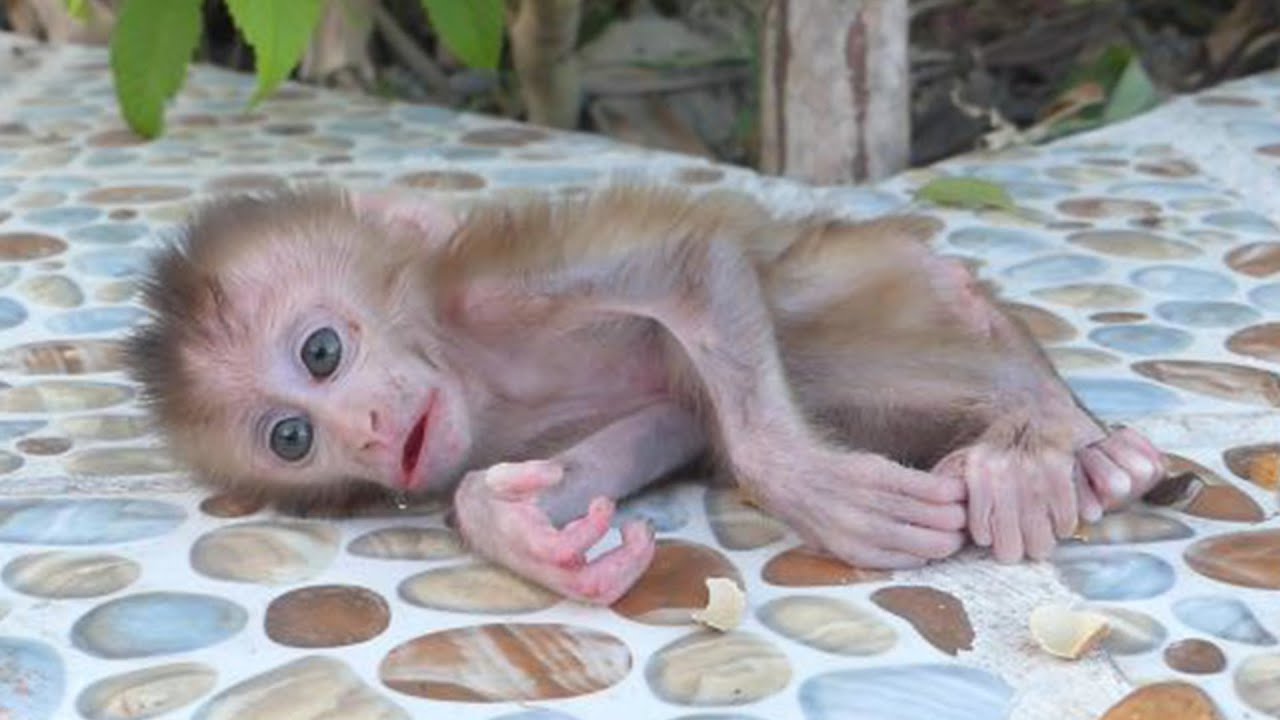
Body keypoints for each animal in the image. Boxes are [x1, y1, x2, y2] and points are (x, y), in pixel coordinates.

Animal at [124, 184, 1167, 605]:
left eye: (322, 350)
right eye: (292, 439)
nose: (372, 432)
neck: (470, 362)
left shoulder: (499, 287)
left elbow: (688, 262)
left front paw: (806, 483)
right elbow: (665, 412)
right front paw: (521, 533)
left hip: (859, 273)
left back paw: (1045, 429)